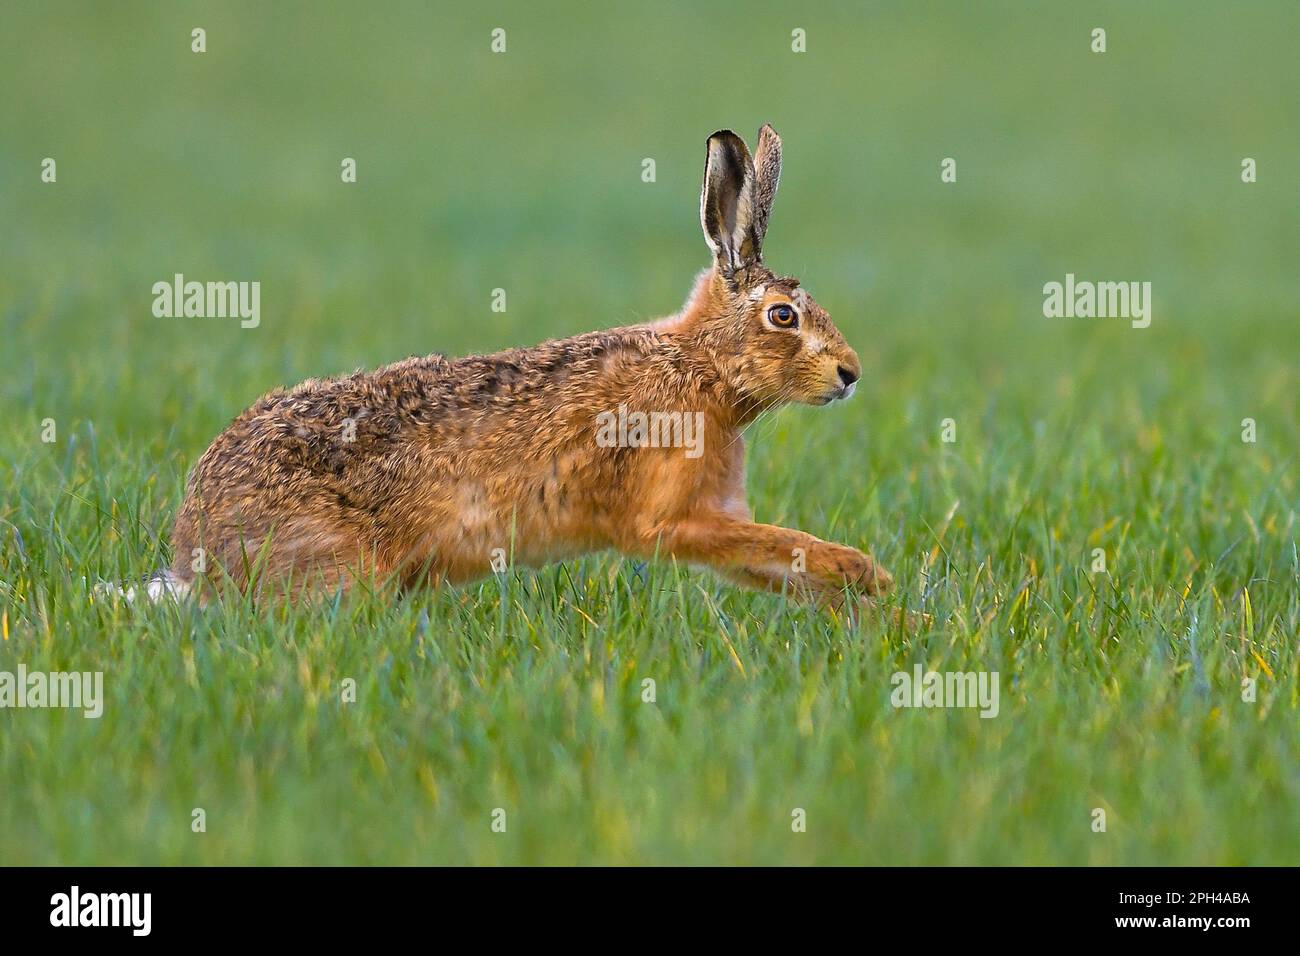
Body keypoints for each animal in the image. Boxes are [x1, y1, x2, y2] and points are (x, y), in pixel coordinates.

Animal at [165, 124, 896, 613]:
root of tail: (195, 550)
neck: (702, 367)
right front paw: (870, 573)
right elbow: (779, 542)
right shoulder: (669, 520)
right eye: (783, 316)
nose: (851, 373)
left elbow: (776, 558)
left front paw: (887, 614)